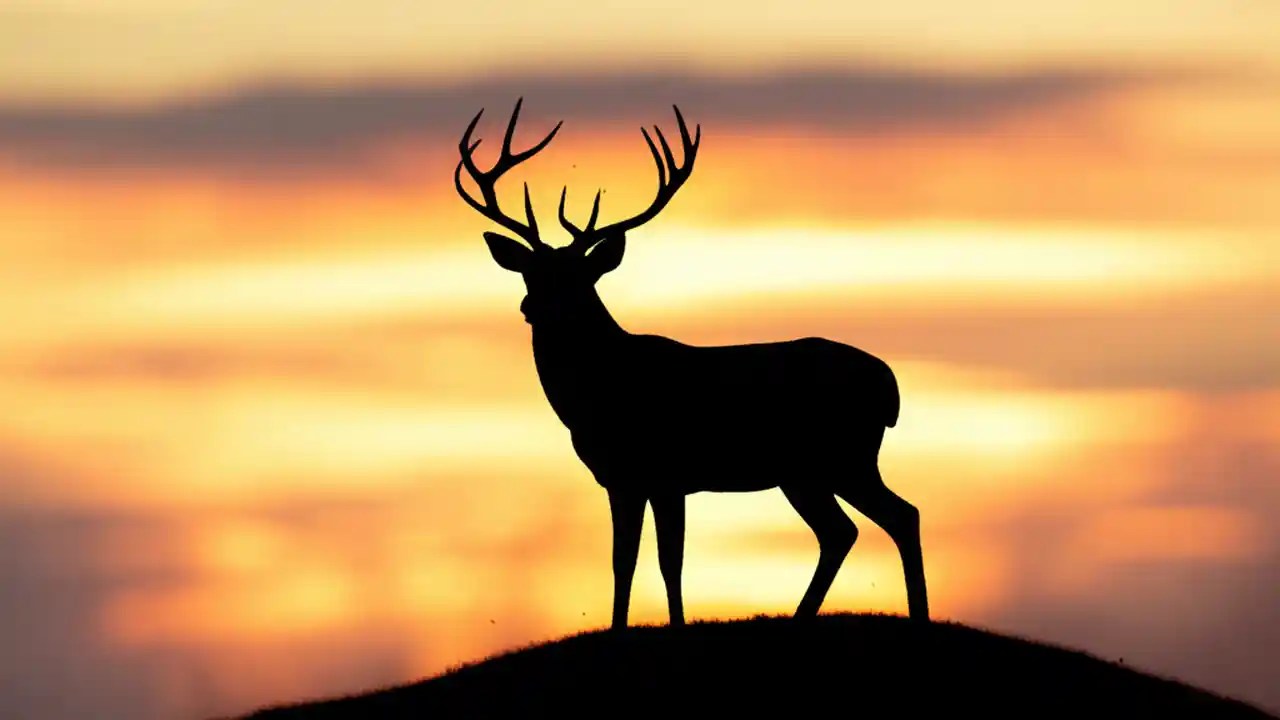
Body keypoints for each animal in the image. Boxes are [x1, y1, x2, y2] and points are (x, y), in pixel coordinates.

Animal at [453, 99, 929, 629]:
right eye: (531, 274)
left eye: (578, 277)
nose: (532, 307)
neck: (598, 392)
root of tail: (889, 385)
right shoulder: (622, 478)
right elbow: (624, 559)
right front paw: (620, 628)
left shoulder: (665, 472)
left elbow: (668, 559)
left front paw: (675, 626)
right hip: (808, 470)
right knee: (847, 529)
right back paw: (810, 615)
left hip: (842, 455)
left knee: (896, 516)